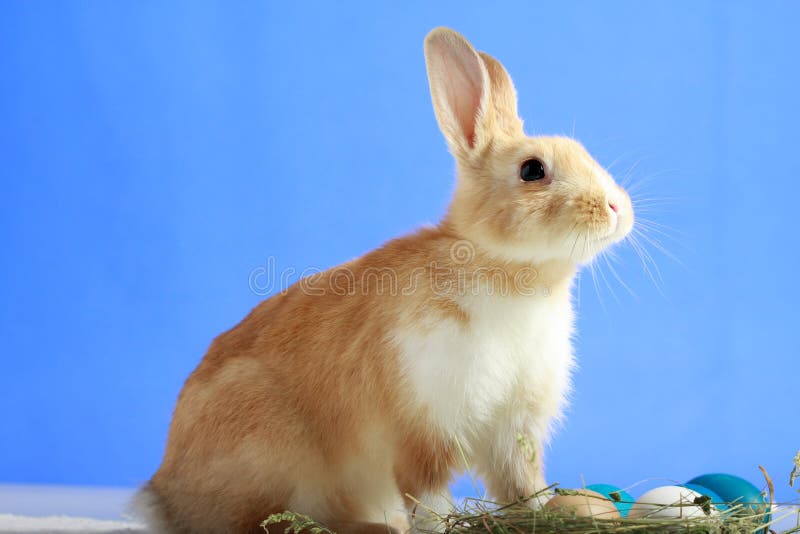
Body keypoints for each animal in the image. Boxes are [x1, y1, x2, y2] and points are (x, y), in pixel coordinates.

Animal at [135, 27, 634, 534]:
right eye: (533, 170)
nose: (617, 207)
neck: (506, 269)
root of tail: (164, 493)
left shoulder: (513, 430)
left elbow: (522, 487)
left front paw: (540, 514)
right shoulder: (422, 427)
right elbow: (428, 497)